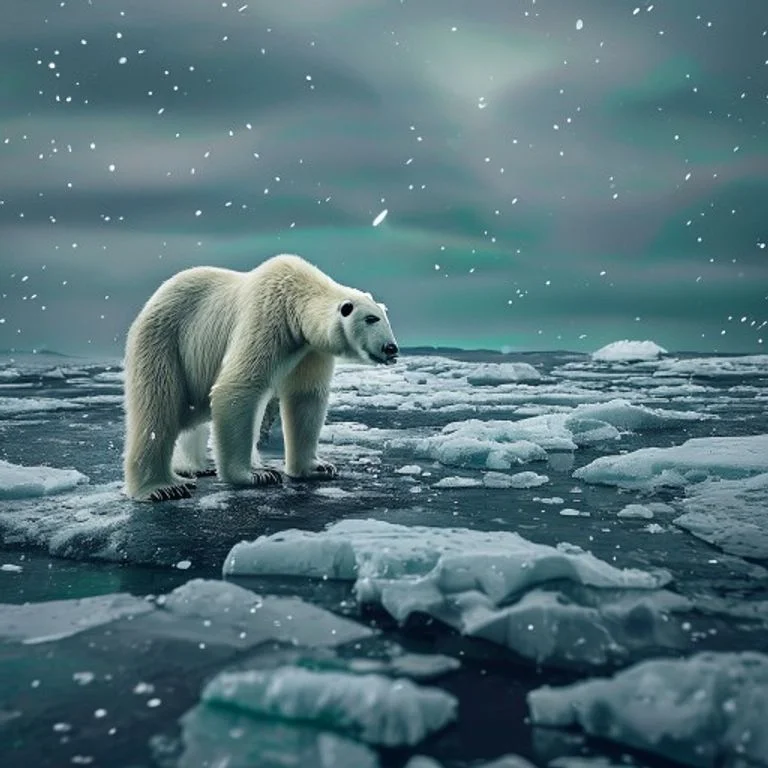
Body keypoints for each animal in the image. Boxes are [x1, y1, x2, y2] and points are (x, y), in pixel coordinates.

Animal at [122, 254, 398, 502]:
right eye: (371, 319)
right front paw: (255, 475)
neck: (295, 296)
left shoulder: (309, 350)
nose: (391, 348)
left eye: (386, 318)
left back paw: (198, 467)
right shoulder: (267, 318)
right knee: (158, 409)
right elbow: (238, 387)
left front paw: (318, 467)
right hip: (164, 340)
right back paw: (163, 487)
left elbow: (306, 398)